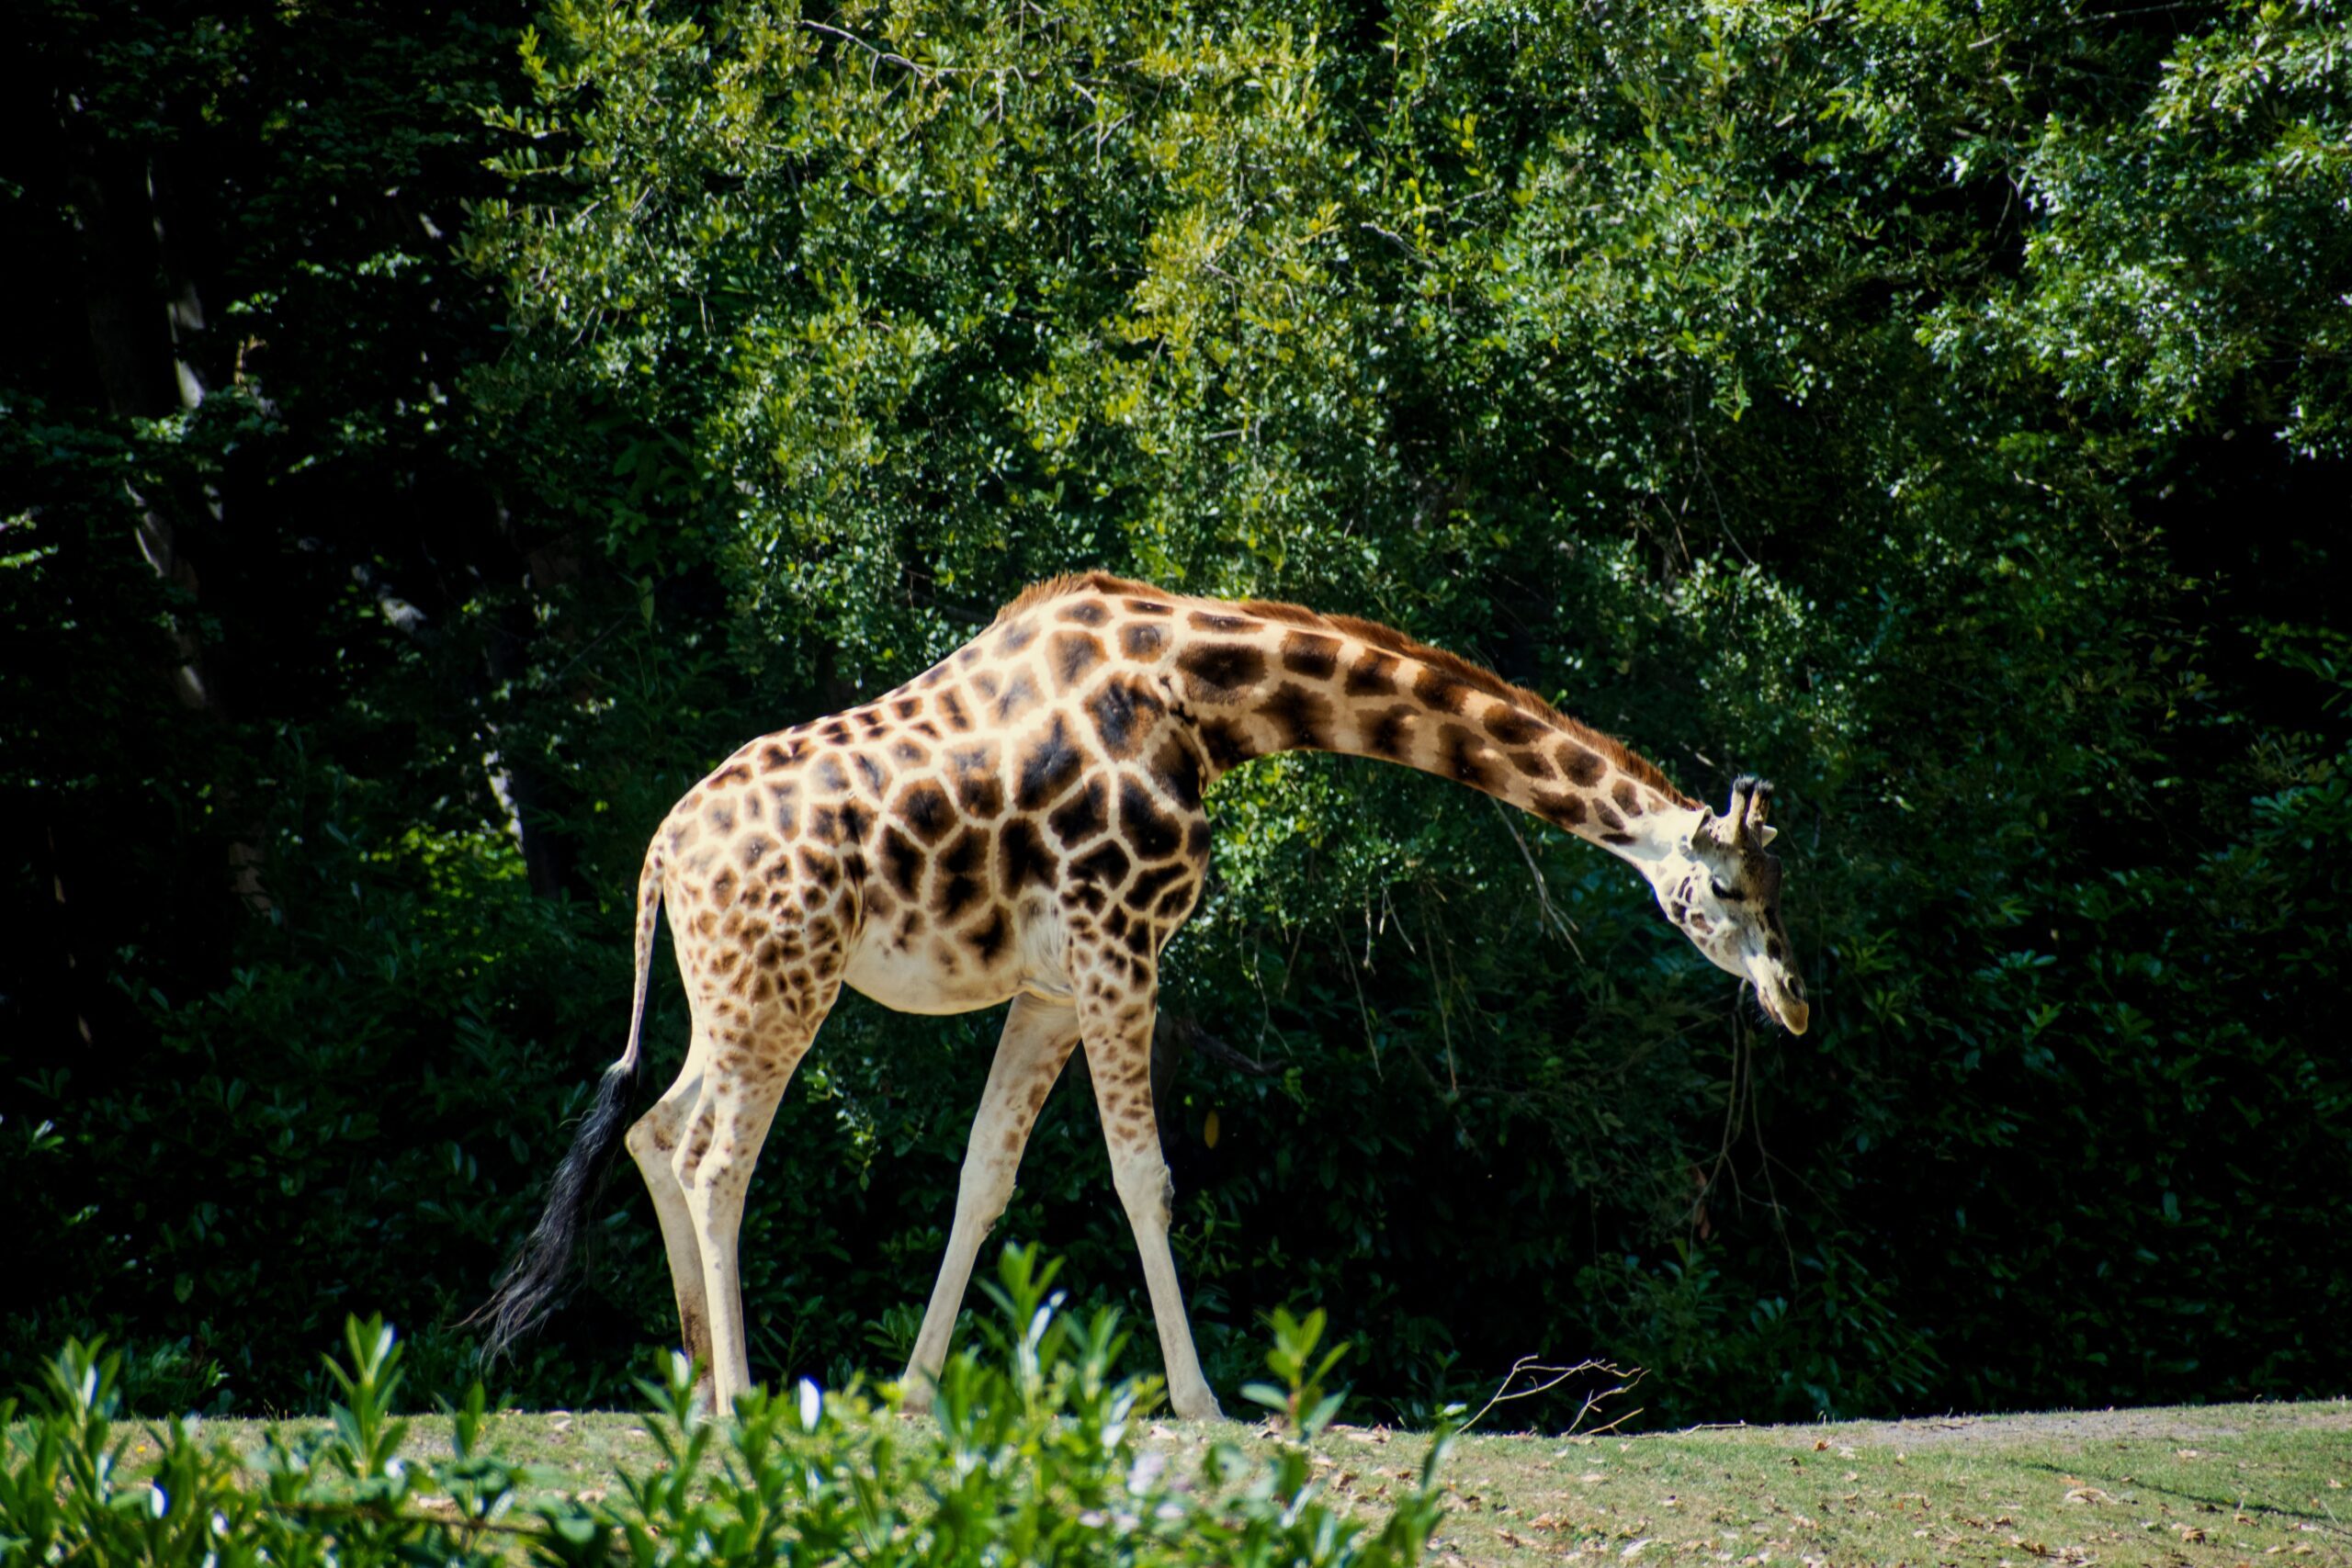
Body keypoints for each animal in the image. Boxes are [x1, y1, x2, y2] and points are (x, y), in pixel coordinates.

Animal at [472, 573, 1796, 1419]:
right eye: (1727, 882)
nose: (1792, 1000)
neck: (1207, 698)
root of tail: (660, 851)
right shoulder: (1123, 948)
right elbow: (1144, 1176)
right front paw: (1203, 1400)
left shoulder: (1056, 984)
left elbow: (985, 1178)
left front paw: (914, 1393)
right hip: (783, 986)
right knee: (714, 1160)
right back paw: (743, 1397)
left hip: (731, 991)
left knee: (654, 1128)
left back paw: (701, 1386)